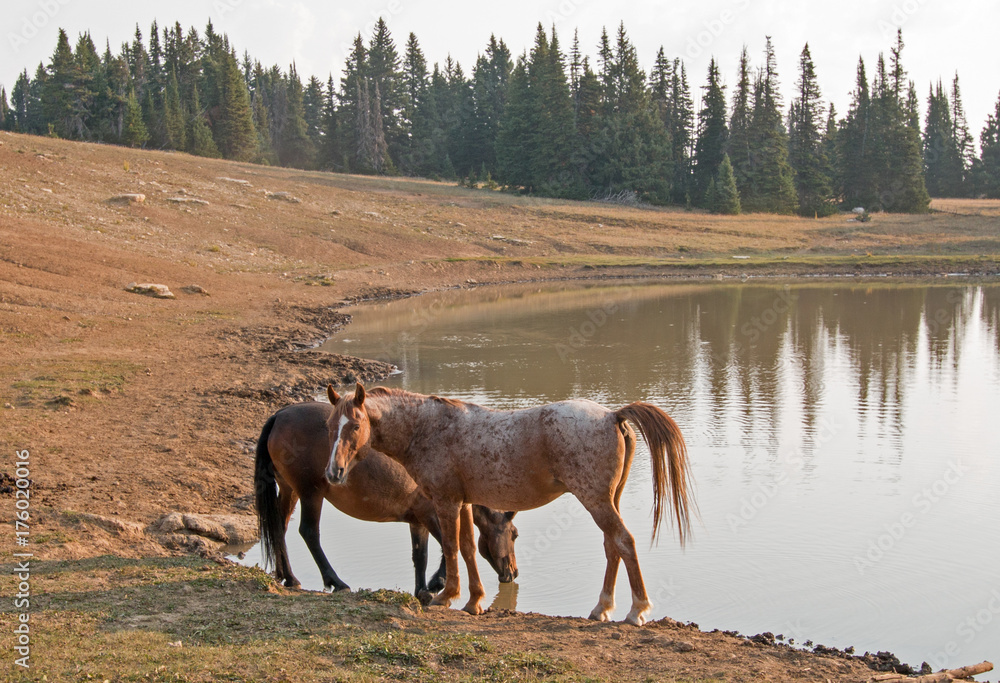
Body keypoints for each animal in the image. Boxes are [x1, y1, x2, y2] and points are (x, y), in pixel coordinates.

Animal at [253, 395, 519, 601]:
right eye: (514, 534)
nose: (513, 573)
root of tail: (279, 415)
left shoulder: (418, 520)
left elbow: (420, 556)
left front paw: (422, 590)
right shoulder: (433, 515)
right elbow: (448, 547)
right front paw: (437, 583)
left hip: (290, 491)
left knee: (279, 528)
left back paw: (289, 577)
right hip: (310, 493)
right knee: (309, 532)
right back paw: (336, 582)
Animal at [324, 383, 694, 626]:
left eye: (354, 425)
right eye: (329, 425)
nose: (333, 471)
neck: (427, 427)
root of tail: (611, 416)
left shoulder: (446, 501)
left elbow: (451, 547)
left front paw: (447, 596)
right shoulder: (463, 502)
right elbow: (467, 548)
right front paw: (474, 601)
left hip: (596, 501)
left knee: (624, 542)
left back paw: (637, 610)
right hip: (607, 501)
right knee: (612, 546)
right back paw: (602, 608)